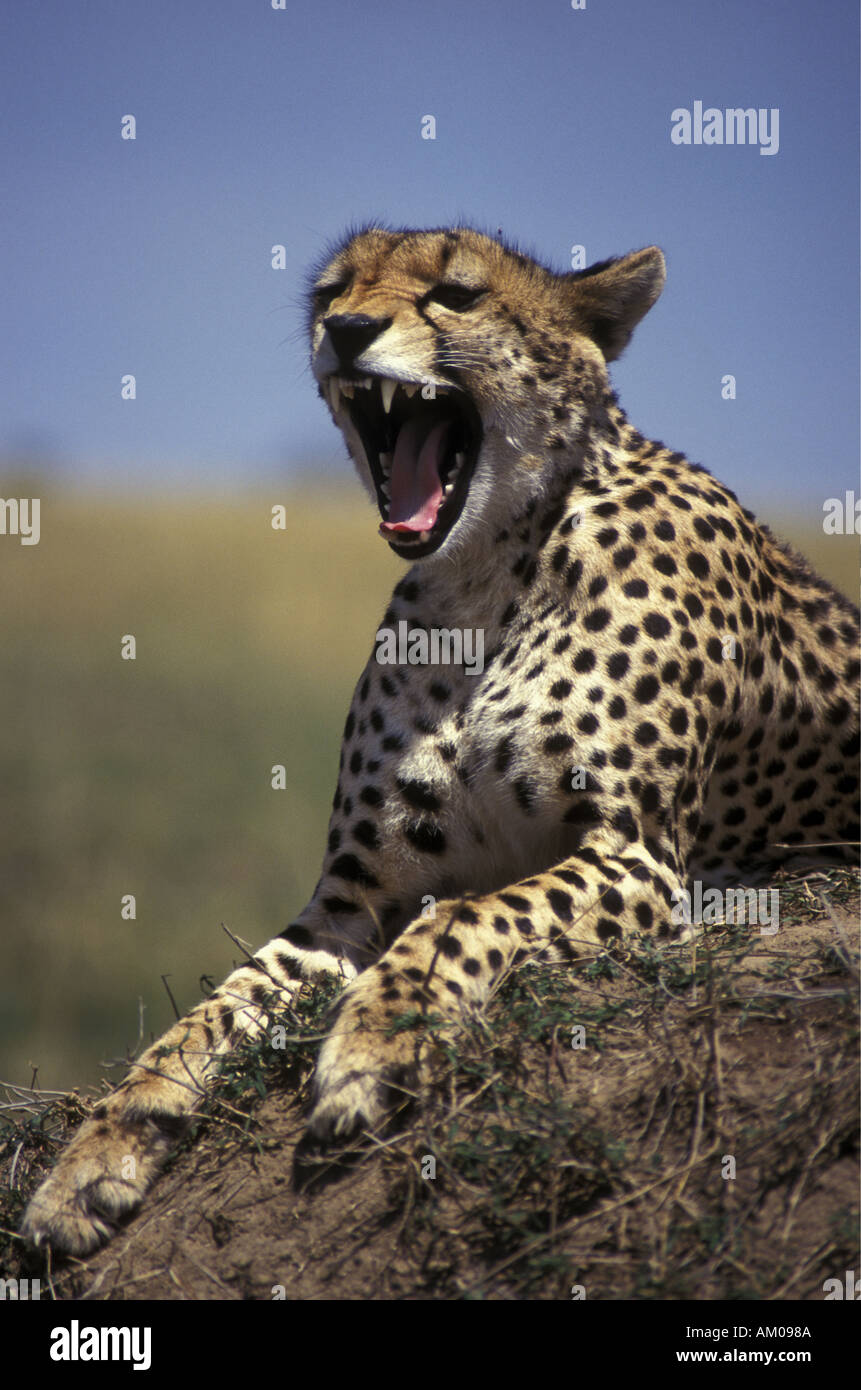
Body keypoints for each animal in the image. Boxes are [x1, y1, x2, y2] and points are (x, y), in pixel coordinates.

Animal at [22, 224, 860, 1257]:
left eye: (455, 295)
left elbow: (466, 913)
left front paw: (375, 1043)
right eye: (332, 291)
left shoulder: (641, 861)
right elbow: (214, 1010)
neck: (484, 573)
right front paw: (96, 1156)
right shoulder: (347, 903)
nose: (346, 331)